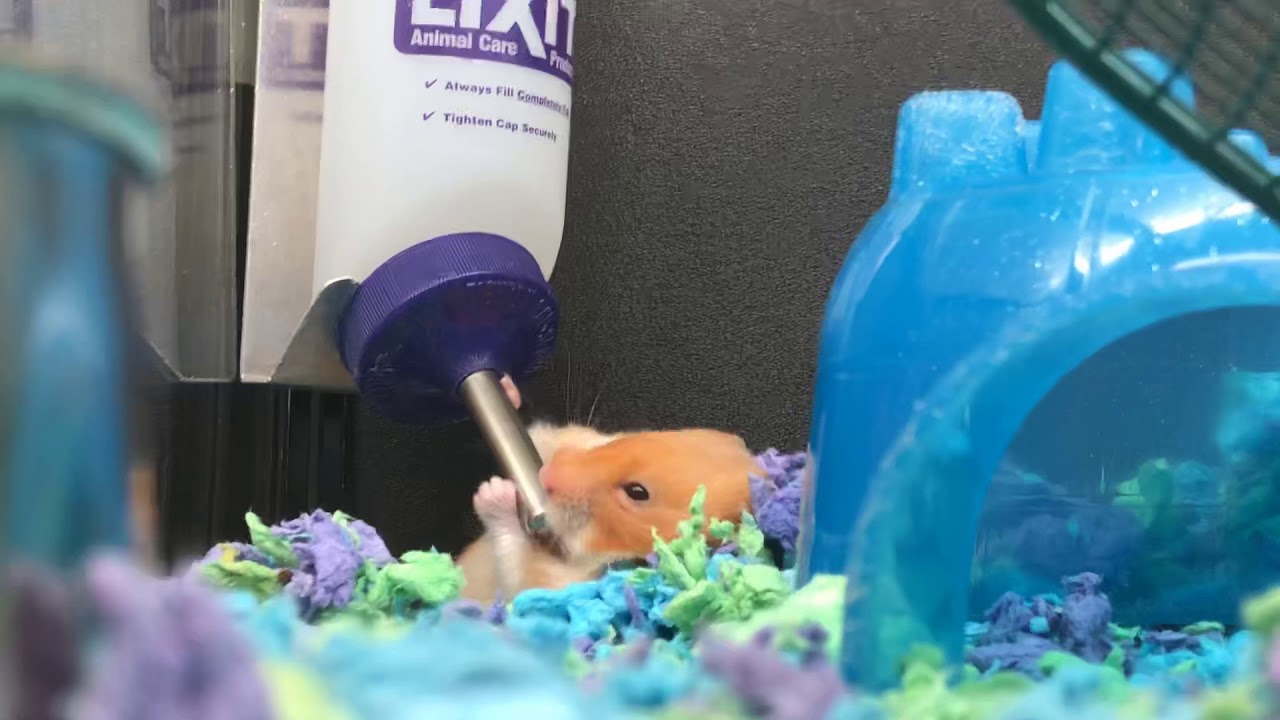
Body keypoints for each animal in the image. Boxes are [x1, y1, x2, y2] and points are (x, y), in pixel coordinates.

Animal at [454, 376, 759, 602]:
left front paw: (493, 492)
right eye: (620, 441)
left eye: (636, 491)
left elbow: (514, 568)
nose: (545, 473)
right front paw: (505, 386)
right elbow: (536, 432)